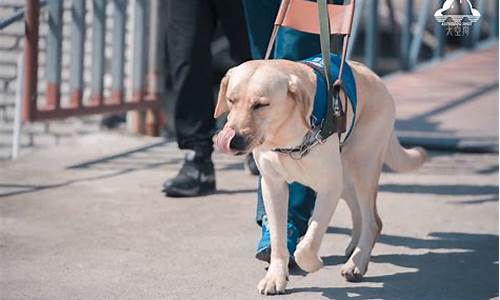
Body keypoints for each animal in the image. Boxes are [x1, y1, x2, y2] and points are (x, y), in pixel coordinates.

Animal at [213, 59, 424, 296]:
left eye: (260, 105)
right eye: (231, 100)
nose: (232, 140)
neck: (287, 140)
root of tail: (375, 77)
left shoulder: (328, 187)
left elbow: (308, 243)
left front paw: (313, 263)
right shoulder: (272, 186)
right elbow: (278, 239)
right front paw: (275, 277)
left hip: (363, 167)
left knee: (373, 221)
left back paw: (357, 262)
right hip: (346, 178)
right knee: (359, 212)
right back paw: (355, 248)